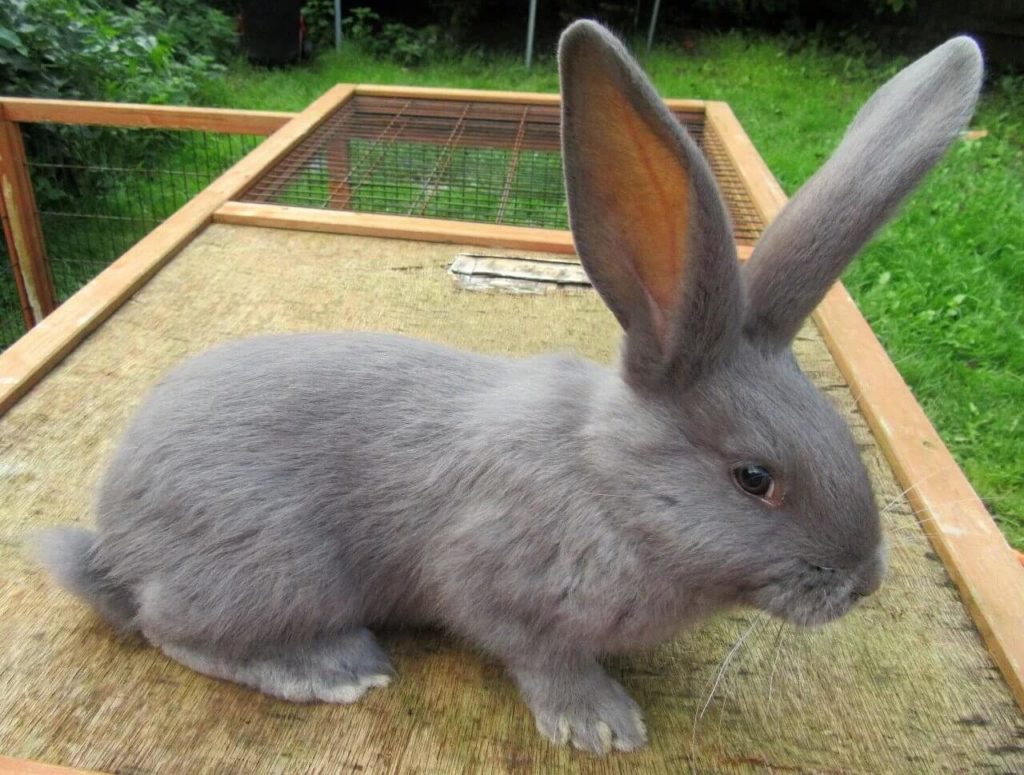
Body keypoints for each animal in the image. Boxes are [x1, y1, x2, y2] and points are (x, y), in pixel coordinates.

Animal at [35, 20, 982, 754]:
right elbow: (536, 652)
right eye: (756, 478)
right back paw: (334, 668)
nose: (864, 581)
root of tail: (114, 536)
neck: (606, 479)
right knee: (167, 626)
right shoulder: (497, 583)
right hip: (278, 567)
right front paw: (600, 725)